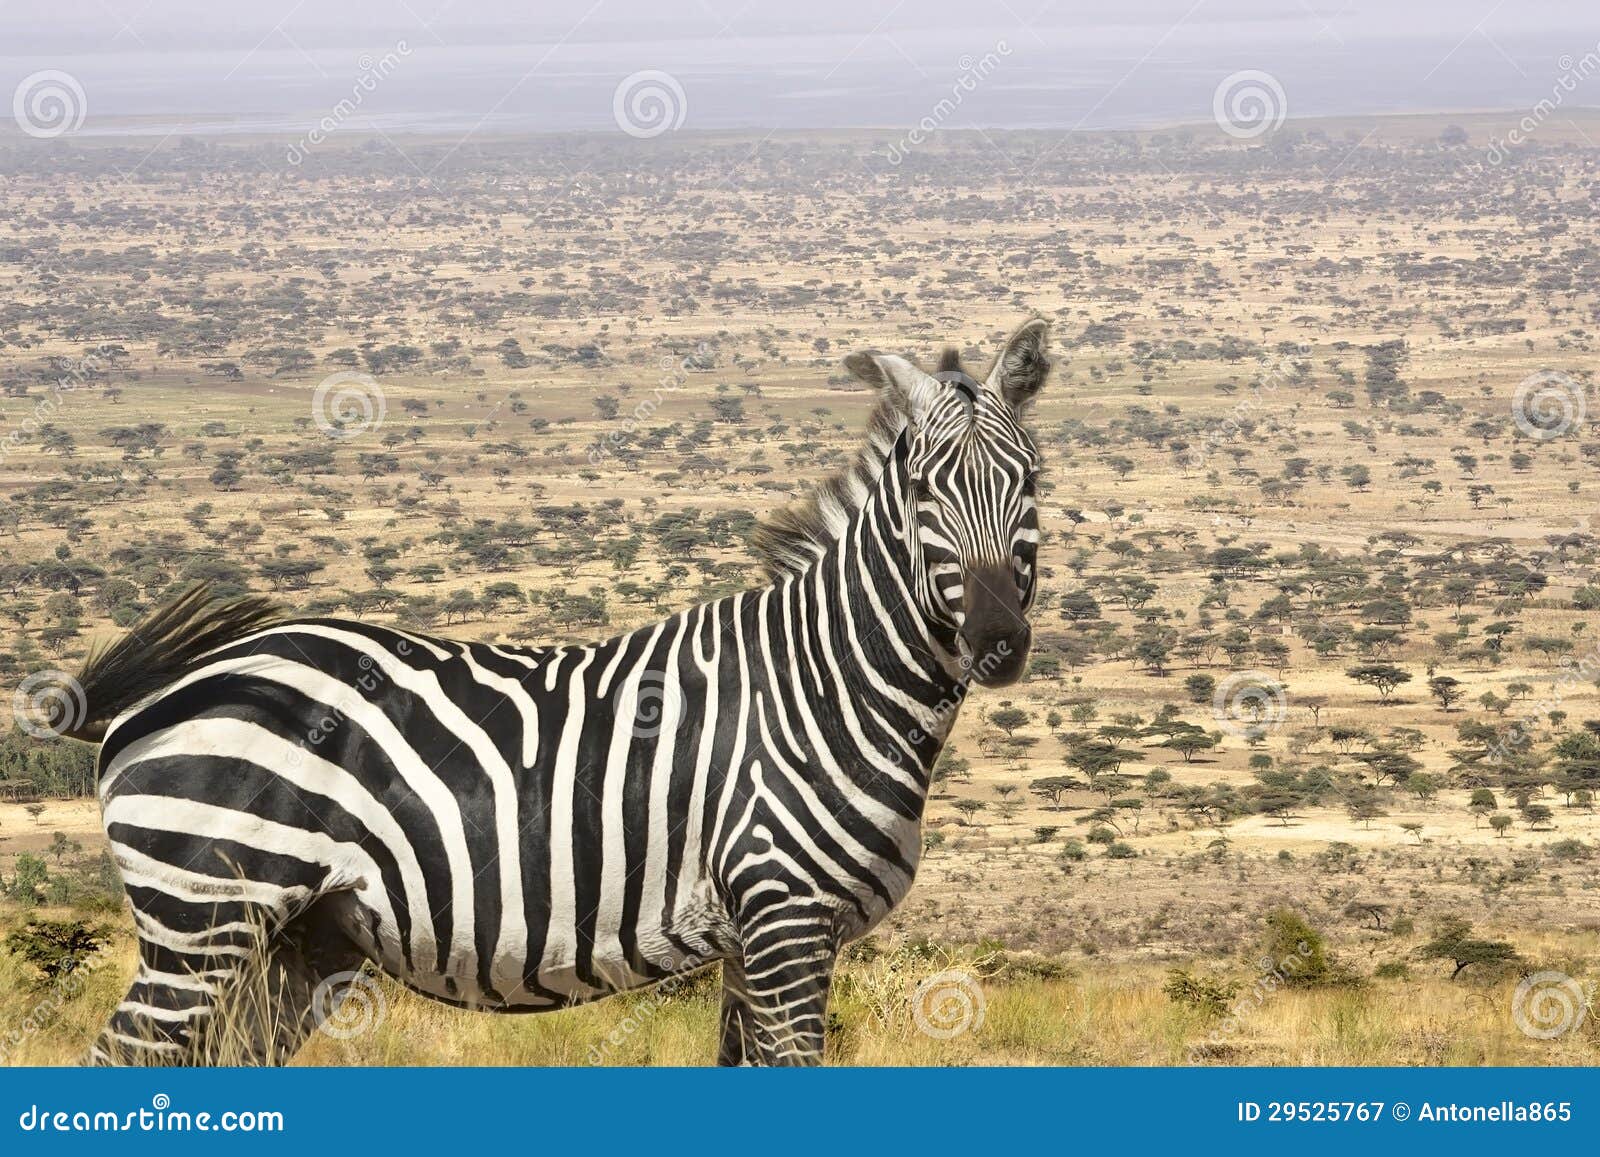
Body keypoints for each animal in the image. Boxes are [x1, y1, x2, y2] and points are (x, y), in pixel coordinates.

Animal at [39, 319, 1051, 1066]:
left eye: (1030, 482)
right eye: (924, 491)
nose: (998, 641)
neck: (828, 686)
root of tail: (171, 689)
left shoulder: (749, 939)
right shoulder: (785, 918)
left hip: (296, 937)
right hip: (201, 919)